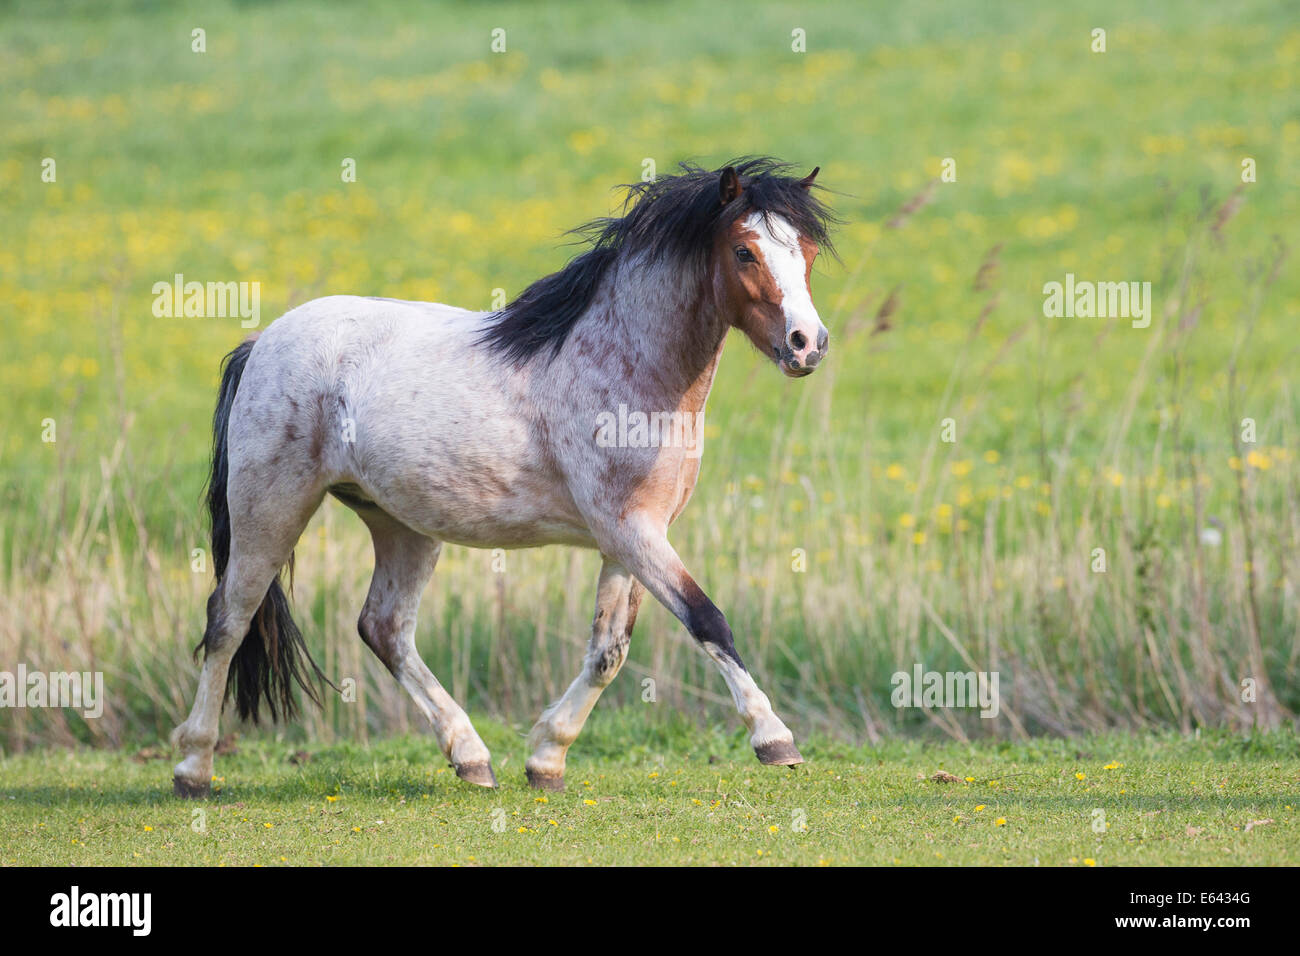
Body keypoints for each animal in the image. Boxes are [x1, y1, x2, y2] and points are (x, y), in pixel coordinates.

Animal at [171, 157, 837, 795]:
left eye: (806, 251)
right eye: (745, 251)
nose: (807, 345)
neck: (625, 366)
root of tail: (262, 341)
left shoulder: (630, 538)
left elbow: (608, 652)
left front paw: (546, 759)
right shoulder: (630, 531)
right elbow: (707, 619)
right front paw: (775, 740)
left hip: (401, 525)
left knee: (384, 628)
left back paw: (471, 758)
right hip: (272, 509)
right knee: (228, 620)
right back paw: (194, 769)